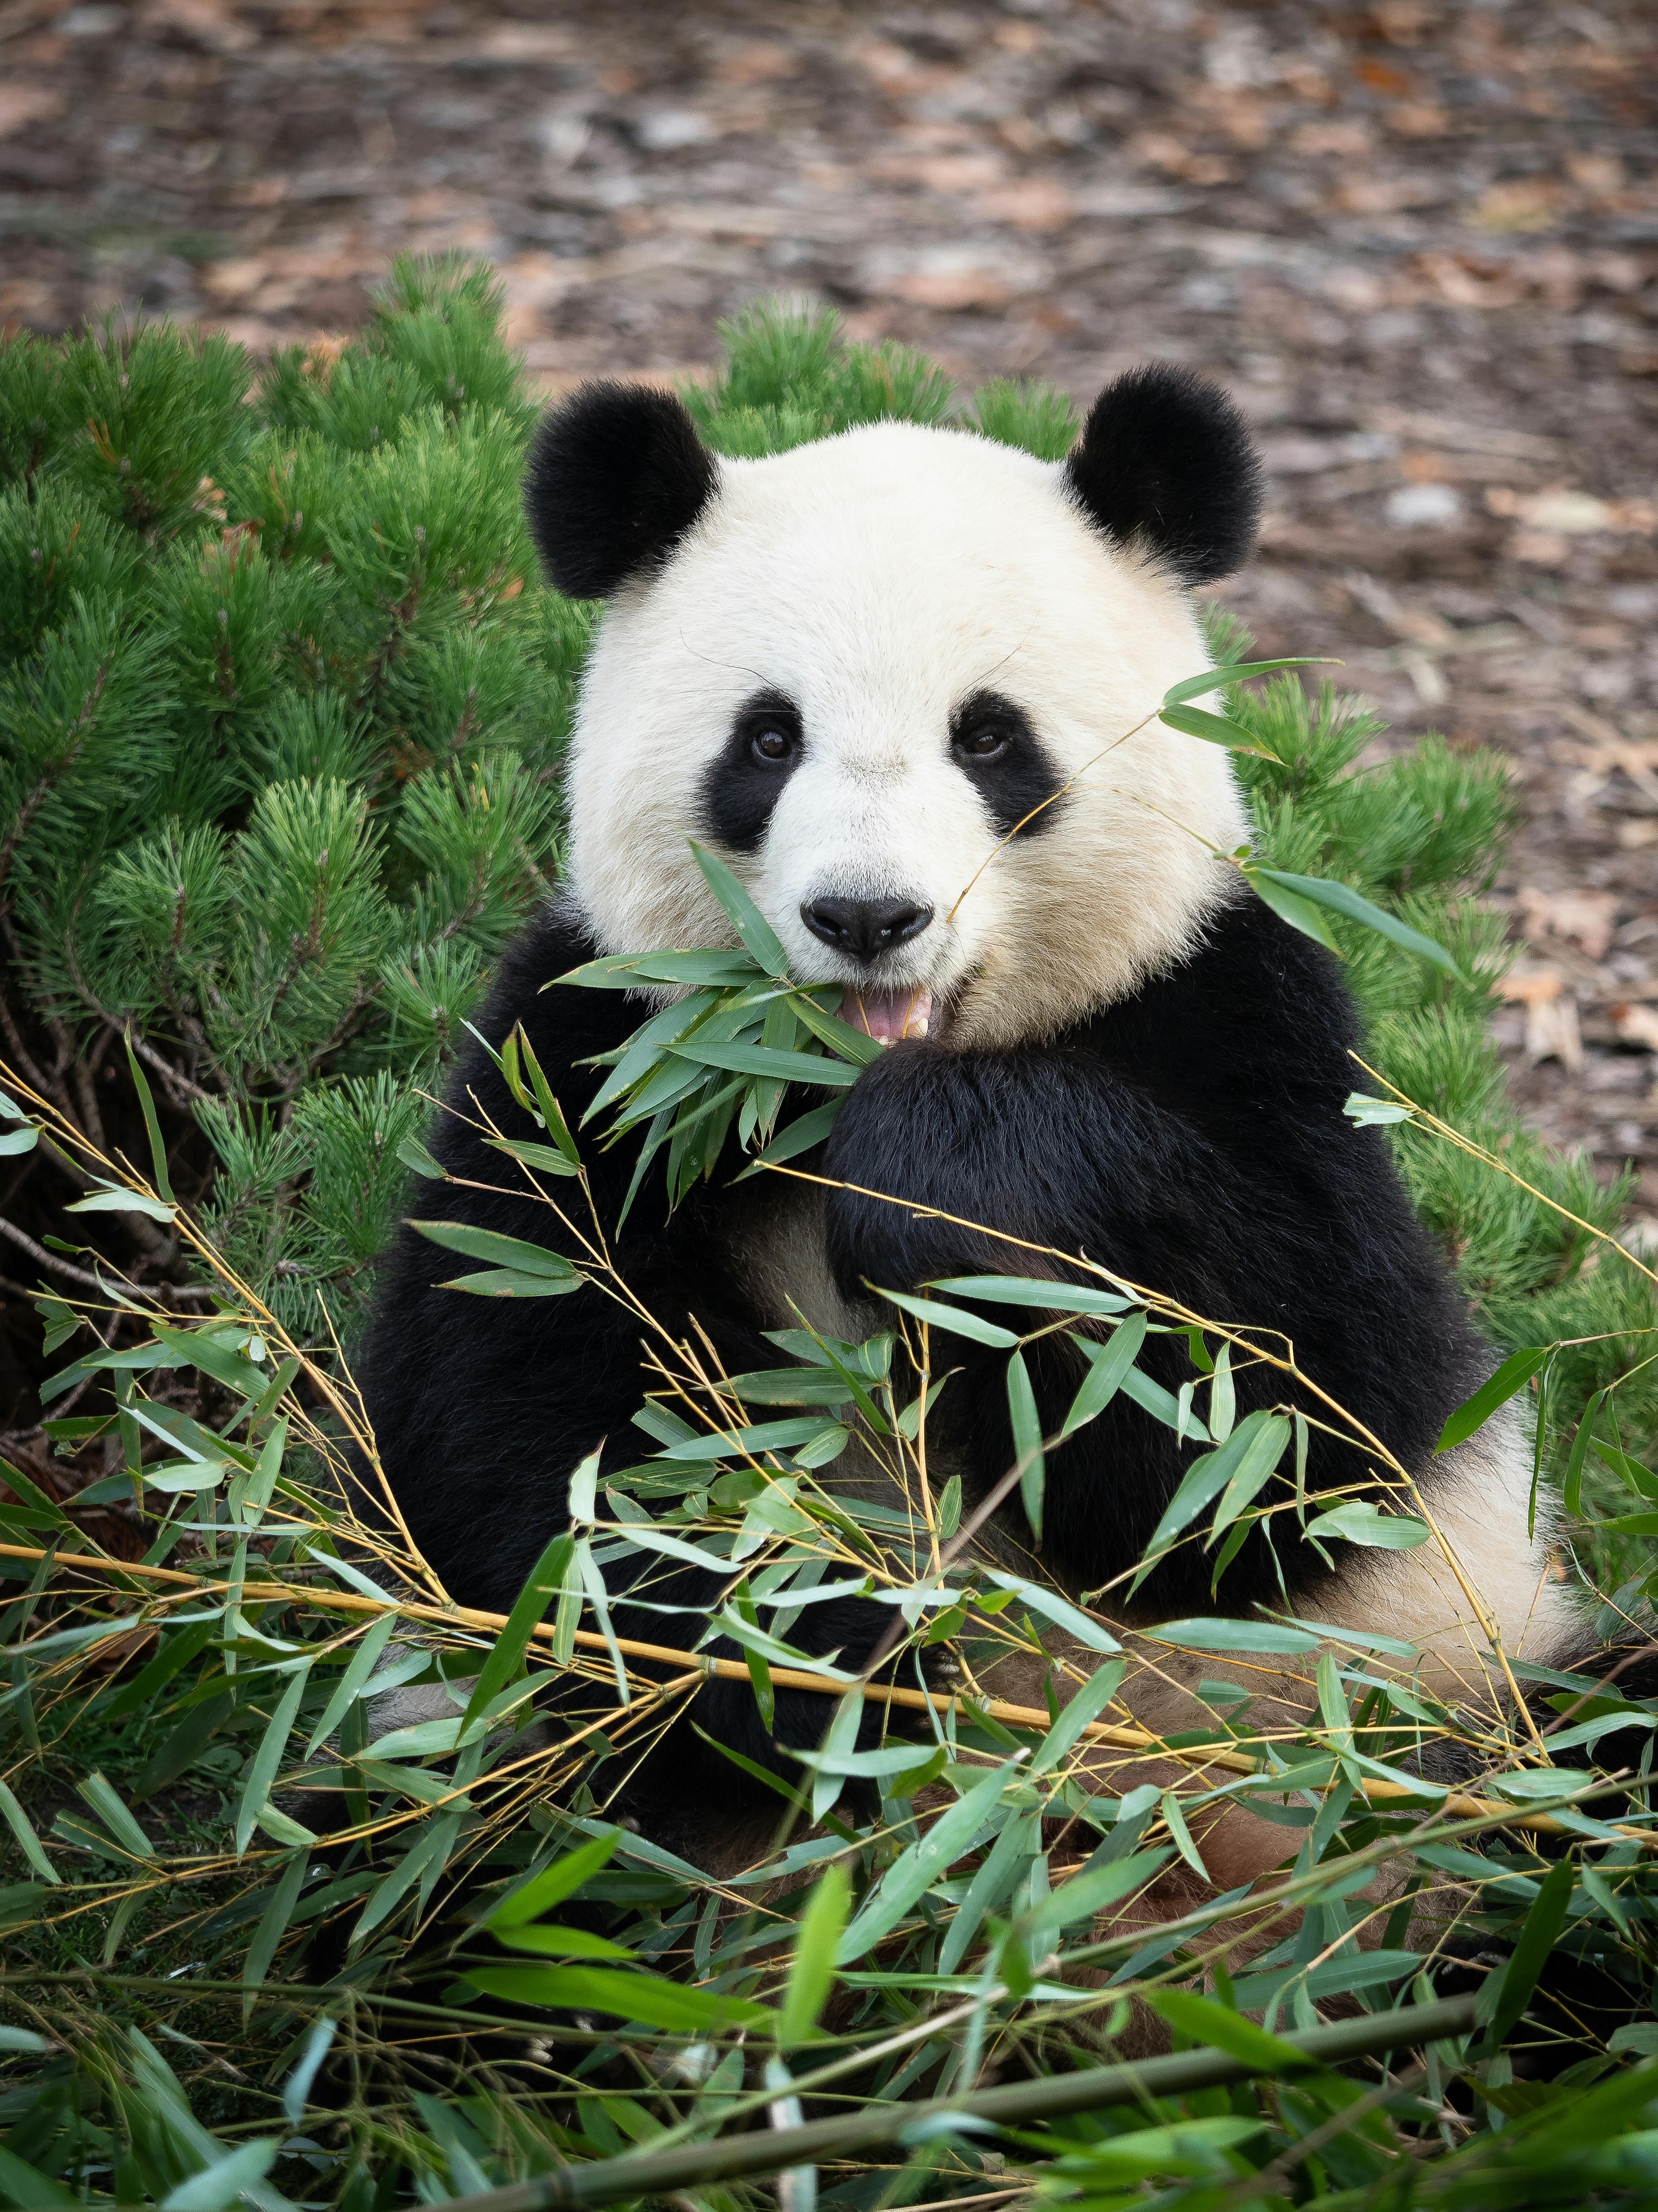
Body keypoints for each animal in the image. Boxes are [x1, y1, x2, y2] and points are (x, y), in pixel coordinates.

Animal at [357, 366, 1585, 1867]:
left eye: (988, 737)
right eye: (768, 739)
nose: (866, 916)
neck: (818, 1090)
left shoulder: (1236, 1013)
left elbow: (1288, 1423)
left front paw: (928, 1186)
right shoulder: (589, 1066)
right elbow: (519, 1429)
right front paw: (817, 1667)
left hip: (1463, 1691)